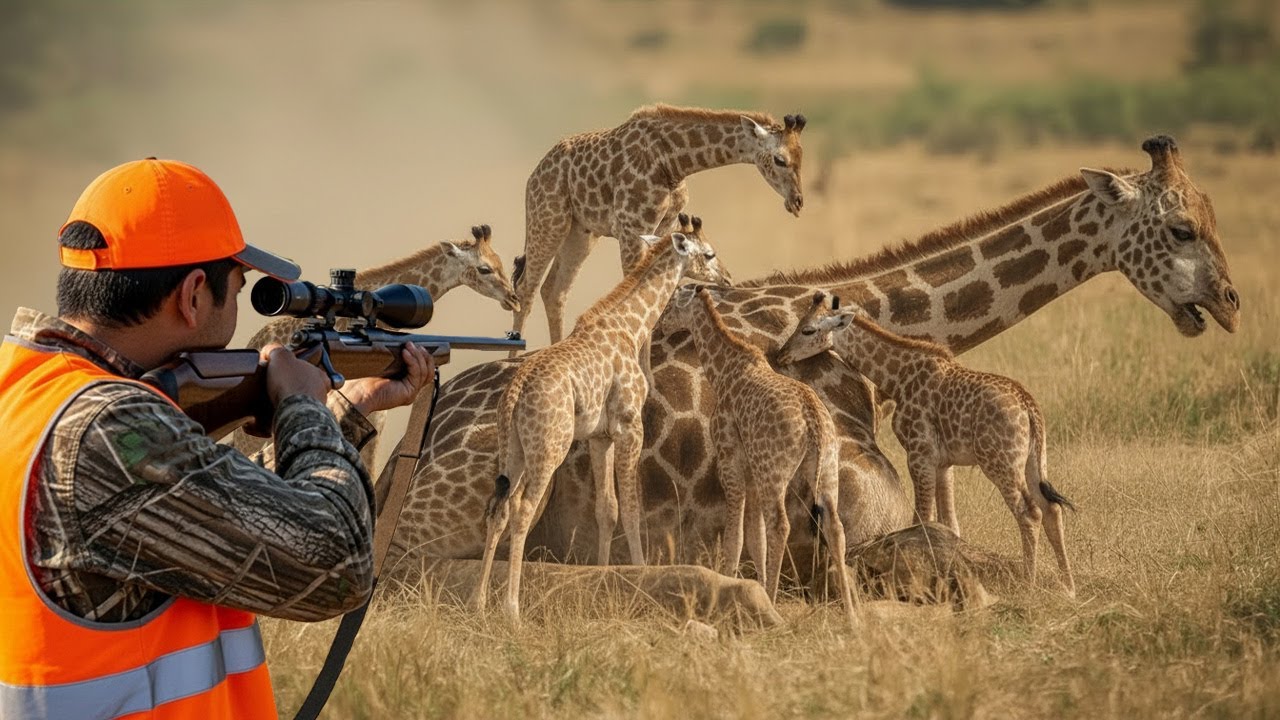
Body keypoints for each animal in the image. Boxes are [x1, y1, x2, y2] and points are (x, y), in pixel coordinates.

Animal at [472, 231, 714, 622]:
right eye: (709, 254)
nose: (724, 277)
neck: (629, 328)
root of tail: (515, 395)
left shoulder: (600, 437)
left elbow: (607, 508)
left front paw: (600, 577)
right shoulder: (630, 426)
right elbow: (631, 508)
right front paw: (640, 573)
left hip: (514, 450)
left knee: (500, 508)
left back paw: (478, 603)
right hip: (549, 449)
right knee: (523, 510)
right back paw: (512, 610)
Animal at [510, 103, 804, 349]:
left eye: (801, 157)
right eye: (780, 160)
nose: (797, 201)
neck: (672, 161)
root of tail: (535, 174)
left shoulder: (663, 227)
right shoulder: (631, 228)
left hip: (581, 233)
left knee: (554, 290)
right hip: (549, 219)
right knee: (526, 288)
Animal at [659, 286, 856, 620]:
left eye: (672, 303)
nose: (659, 326)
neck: (723, 368)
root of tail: (814, 424)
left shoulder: (730, 460)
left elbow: (735, 536)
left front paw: (729, 584)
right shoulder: (751, 470)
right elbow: (756, 536)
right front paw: (756, 588)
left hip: (774, 472)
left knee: (781, 524)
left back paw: (776, 600)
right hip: (826, 469)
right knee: (835, 527)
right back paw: (851, 614)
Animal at [778, 292, 1076, 594]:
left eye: (808, 330)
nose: (781, 355)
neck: (898, 376)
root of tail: (1029, 406)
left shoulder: (919, 453)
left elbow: (921, 517)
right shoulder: (943, 463)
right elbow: (950, 524)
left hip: (1000, 463)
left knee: (1030, 513)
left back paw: (1030, 584)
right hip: (1033, 461)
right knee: (1051, 509)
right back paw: (1069, 586)